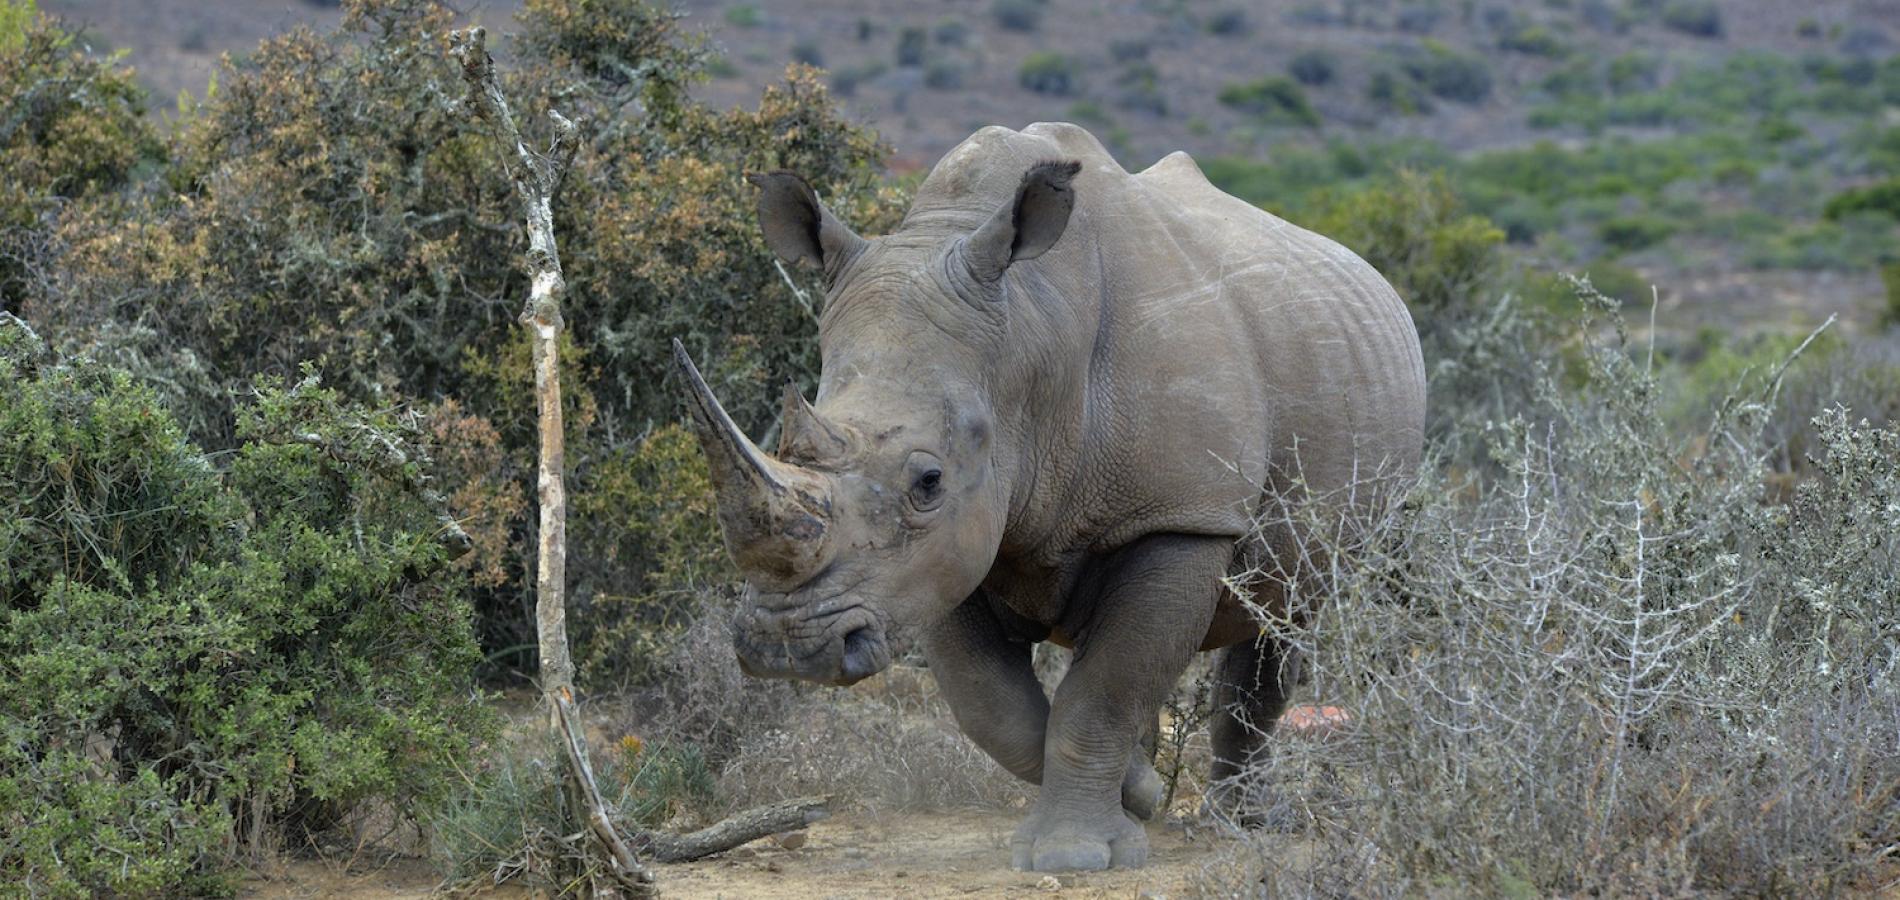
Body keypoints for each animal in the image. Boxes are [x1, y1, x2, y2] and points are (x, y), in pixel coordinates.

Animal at [672, 122, 1425, 872]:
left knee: (1284, 621)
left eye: (928, 483)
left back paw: (1246, 825)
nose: (784, 647)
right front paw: (1137, 795)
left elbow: (1104, 691)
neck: (1031, 337)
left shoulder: (1180, 517)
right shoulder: (946, 555)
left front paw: (1077, 854)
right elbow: (994, 706)